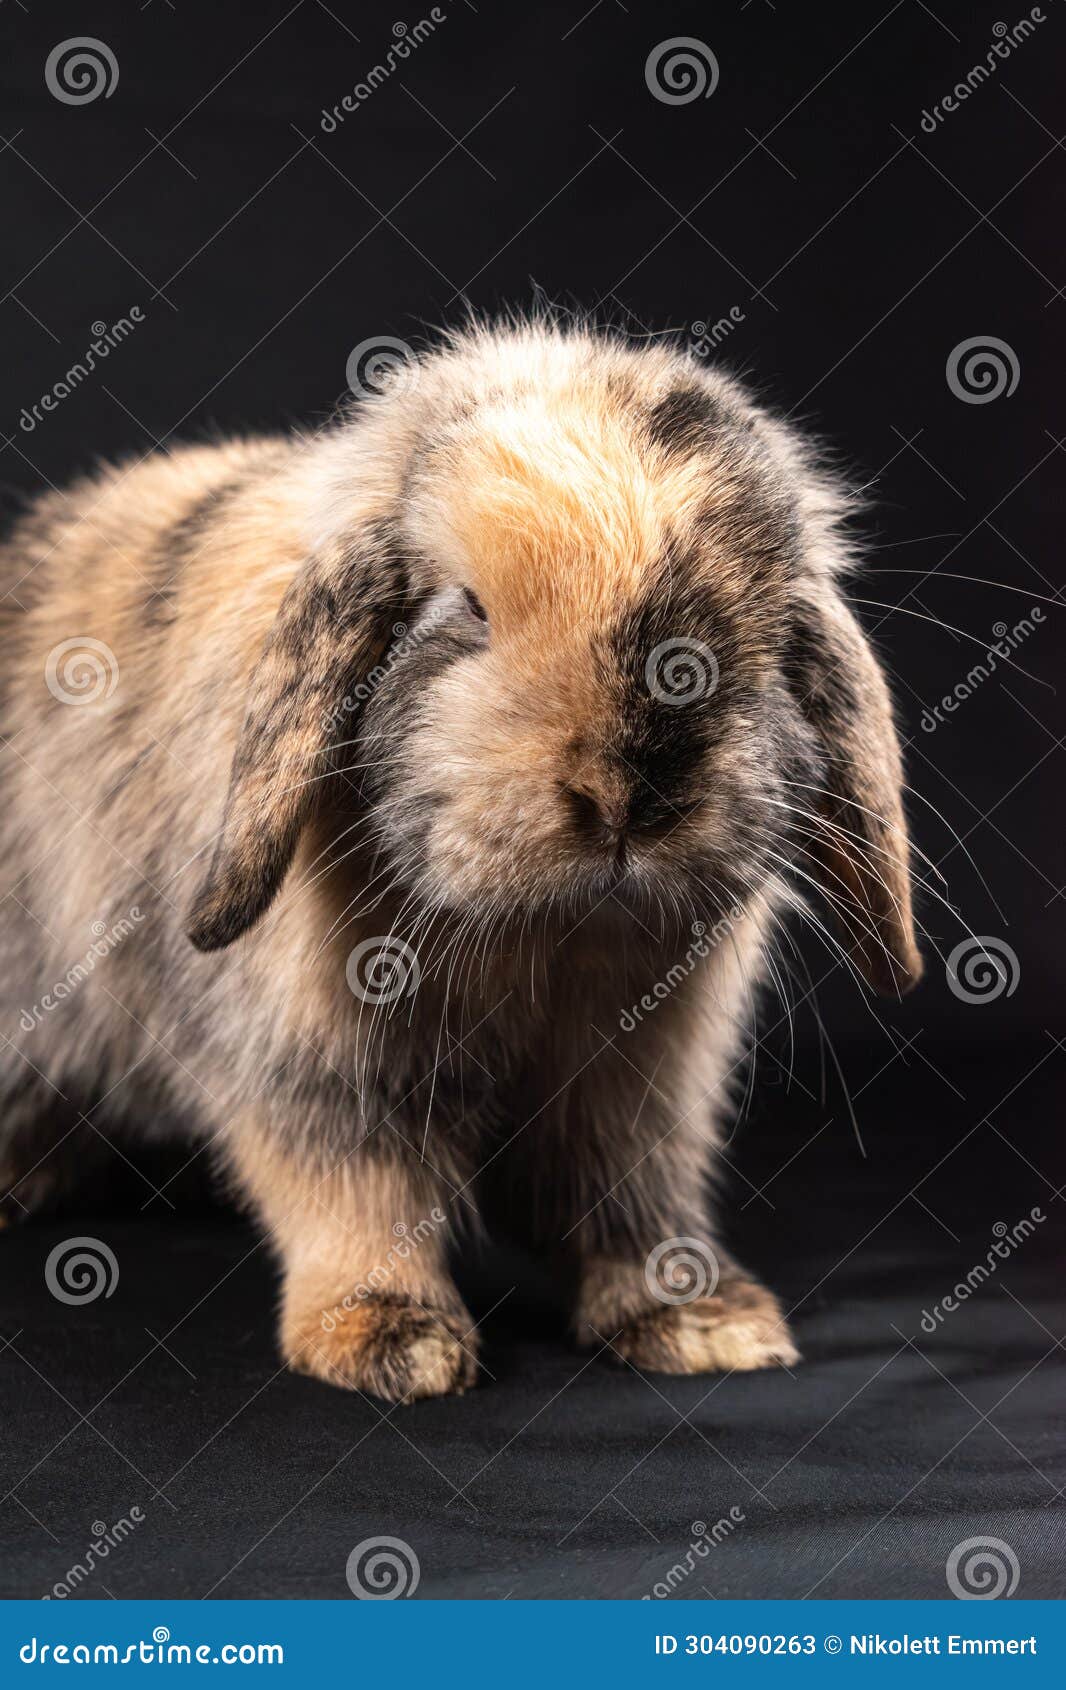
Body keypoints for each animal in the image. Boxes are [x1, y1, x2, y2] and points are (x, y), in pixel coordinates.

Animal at [0, 318, 921, 1402]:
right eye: (469, 610)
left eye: (765, 621)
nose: (627, 793)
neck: (544, 933)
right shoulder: (312, 1069)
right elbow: (356, 1194)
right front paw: (391, 1342)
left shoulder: (638, 1079)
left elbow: (629, 1195)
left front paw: (702, 1321)